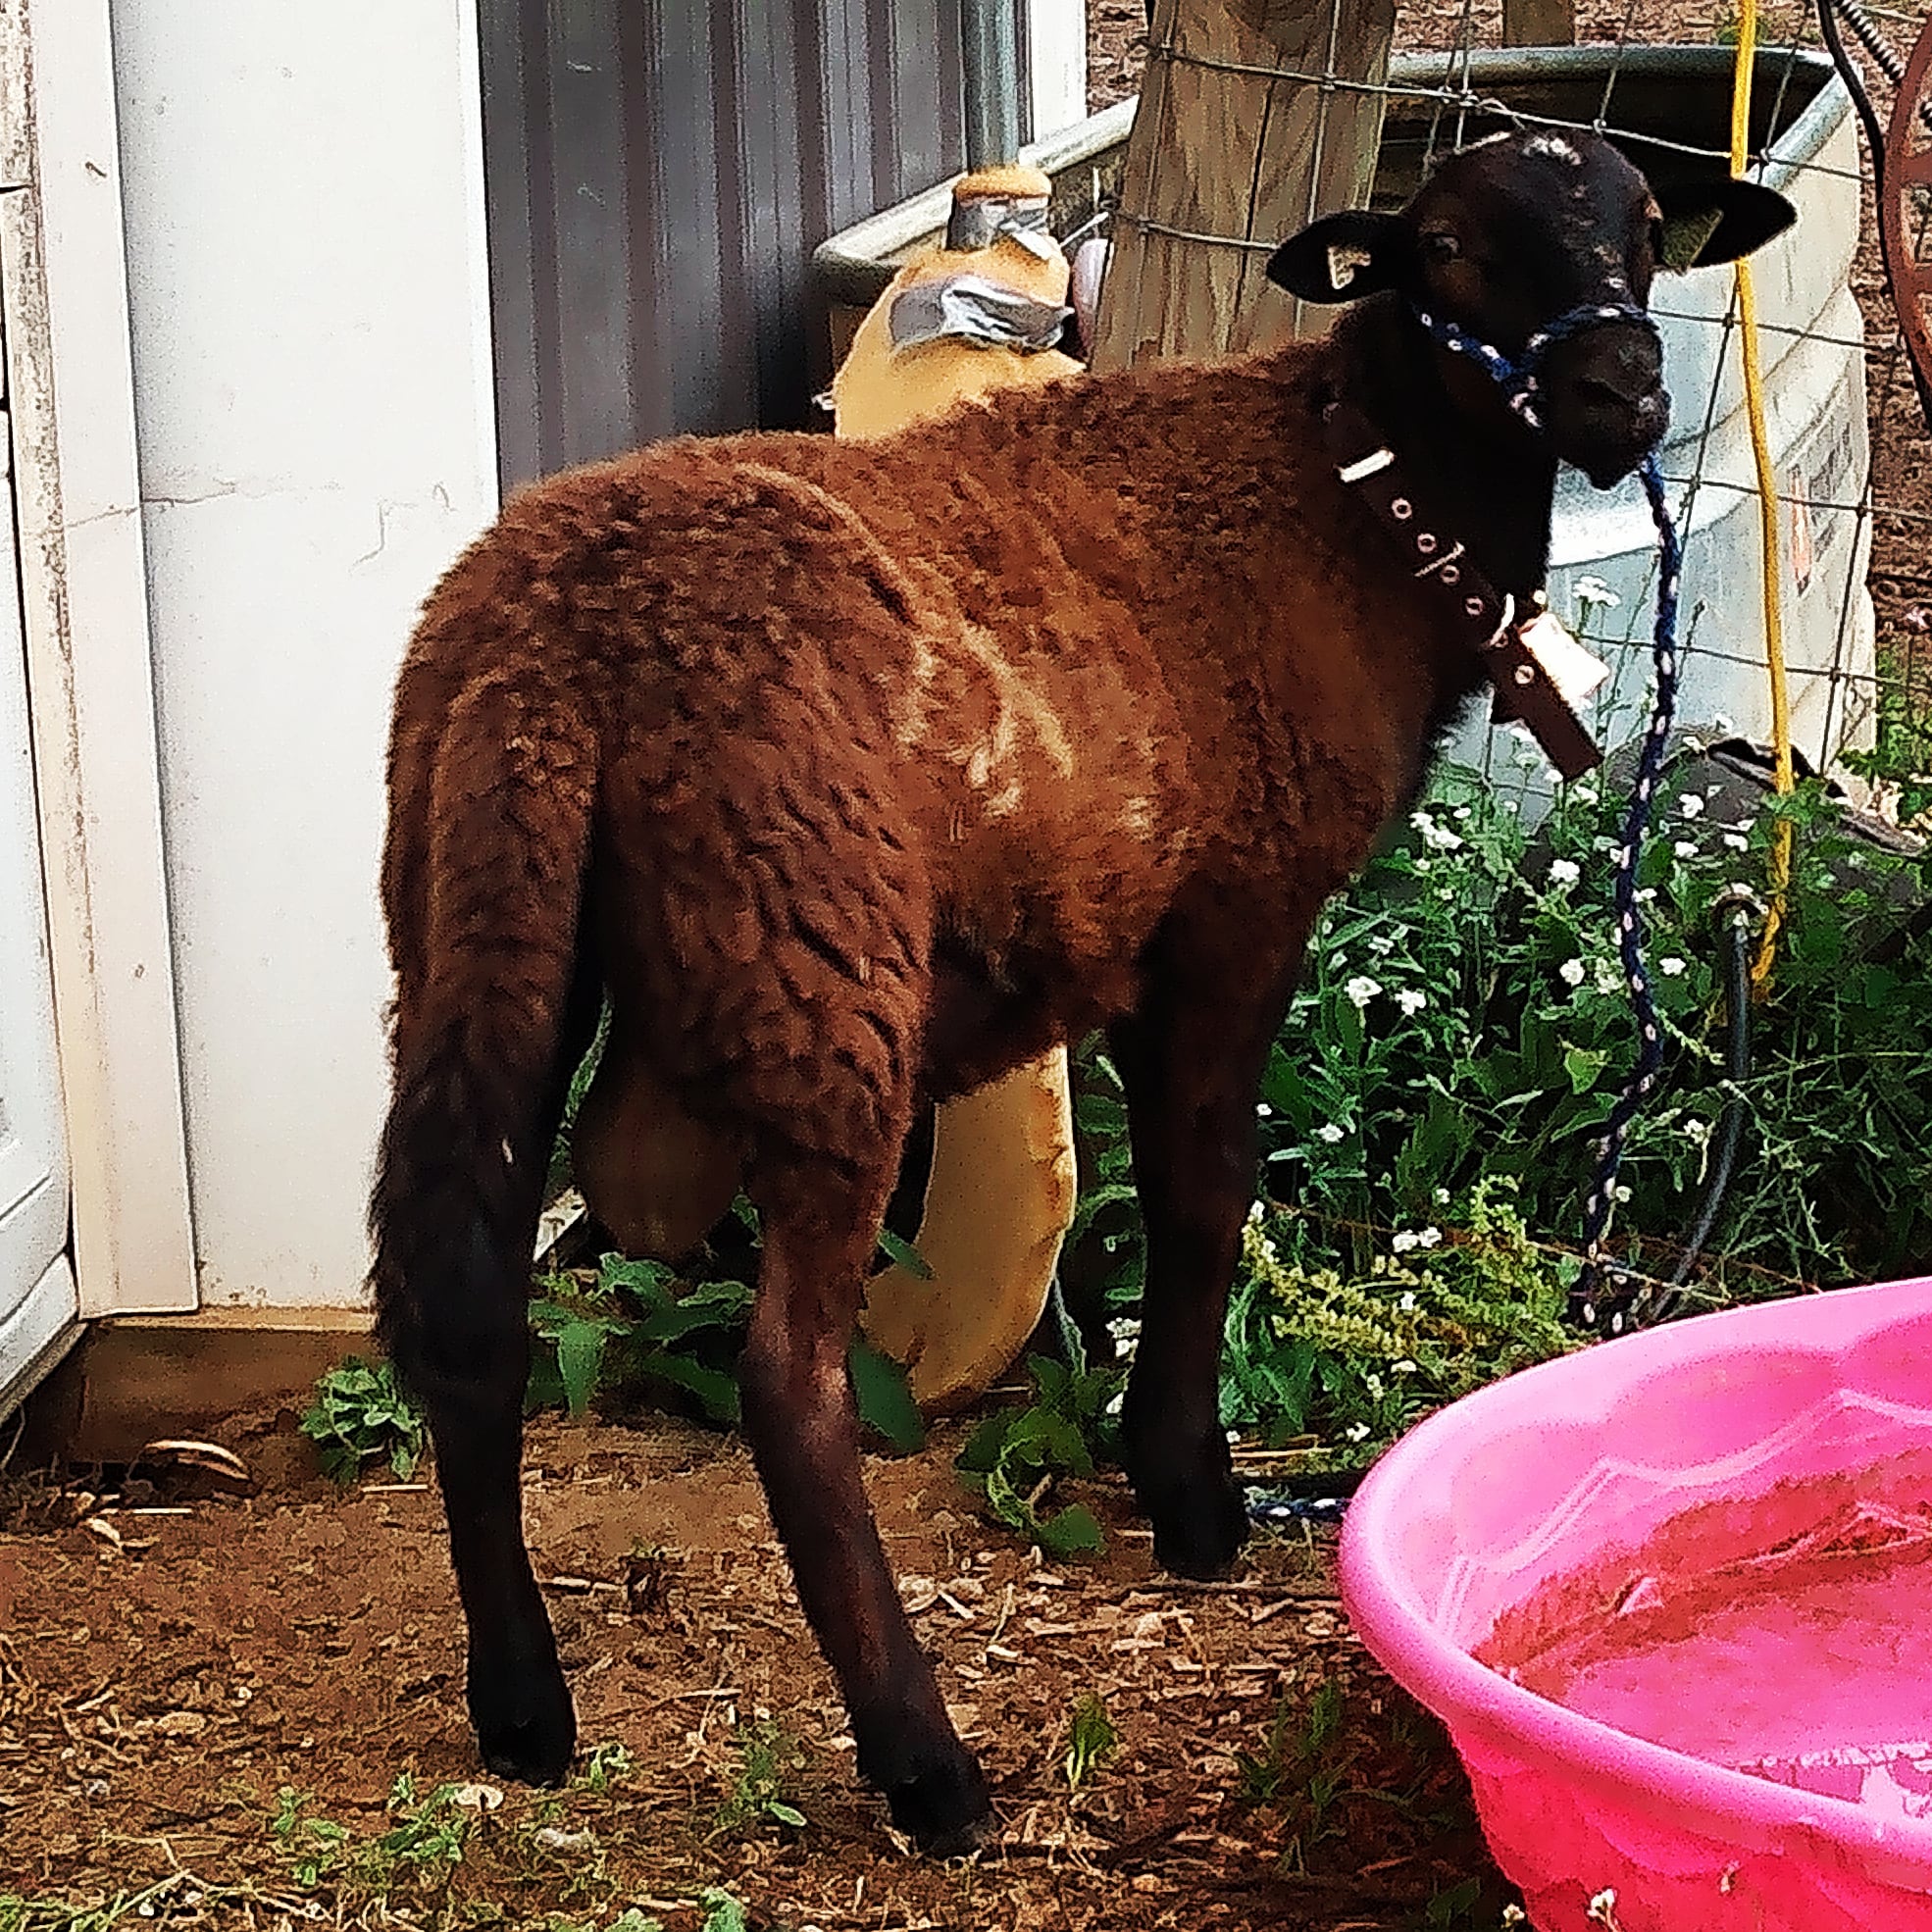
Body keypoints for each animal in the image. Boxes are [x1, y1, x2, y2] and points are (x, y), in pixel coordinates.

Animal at [372, 130, 1793, 1854]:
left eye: (1645, 227)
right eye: (1448, 246)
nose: (1619, 386)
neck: (1352, 499)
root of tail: (559, 644)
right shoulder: (1239, 908)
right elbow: (1203, 1194)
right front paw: (1190, 1492)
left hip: (470, 936)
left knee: (467, 1312)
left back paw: (523, 1708)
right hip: (818, 972)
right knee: (787, 1380)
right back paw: (923, 1765)